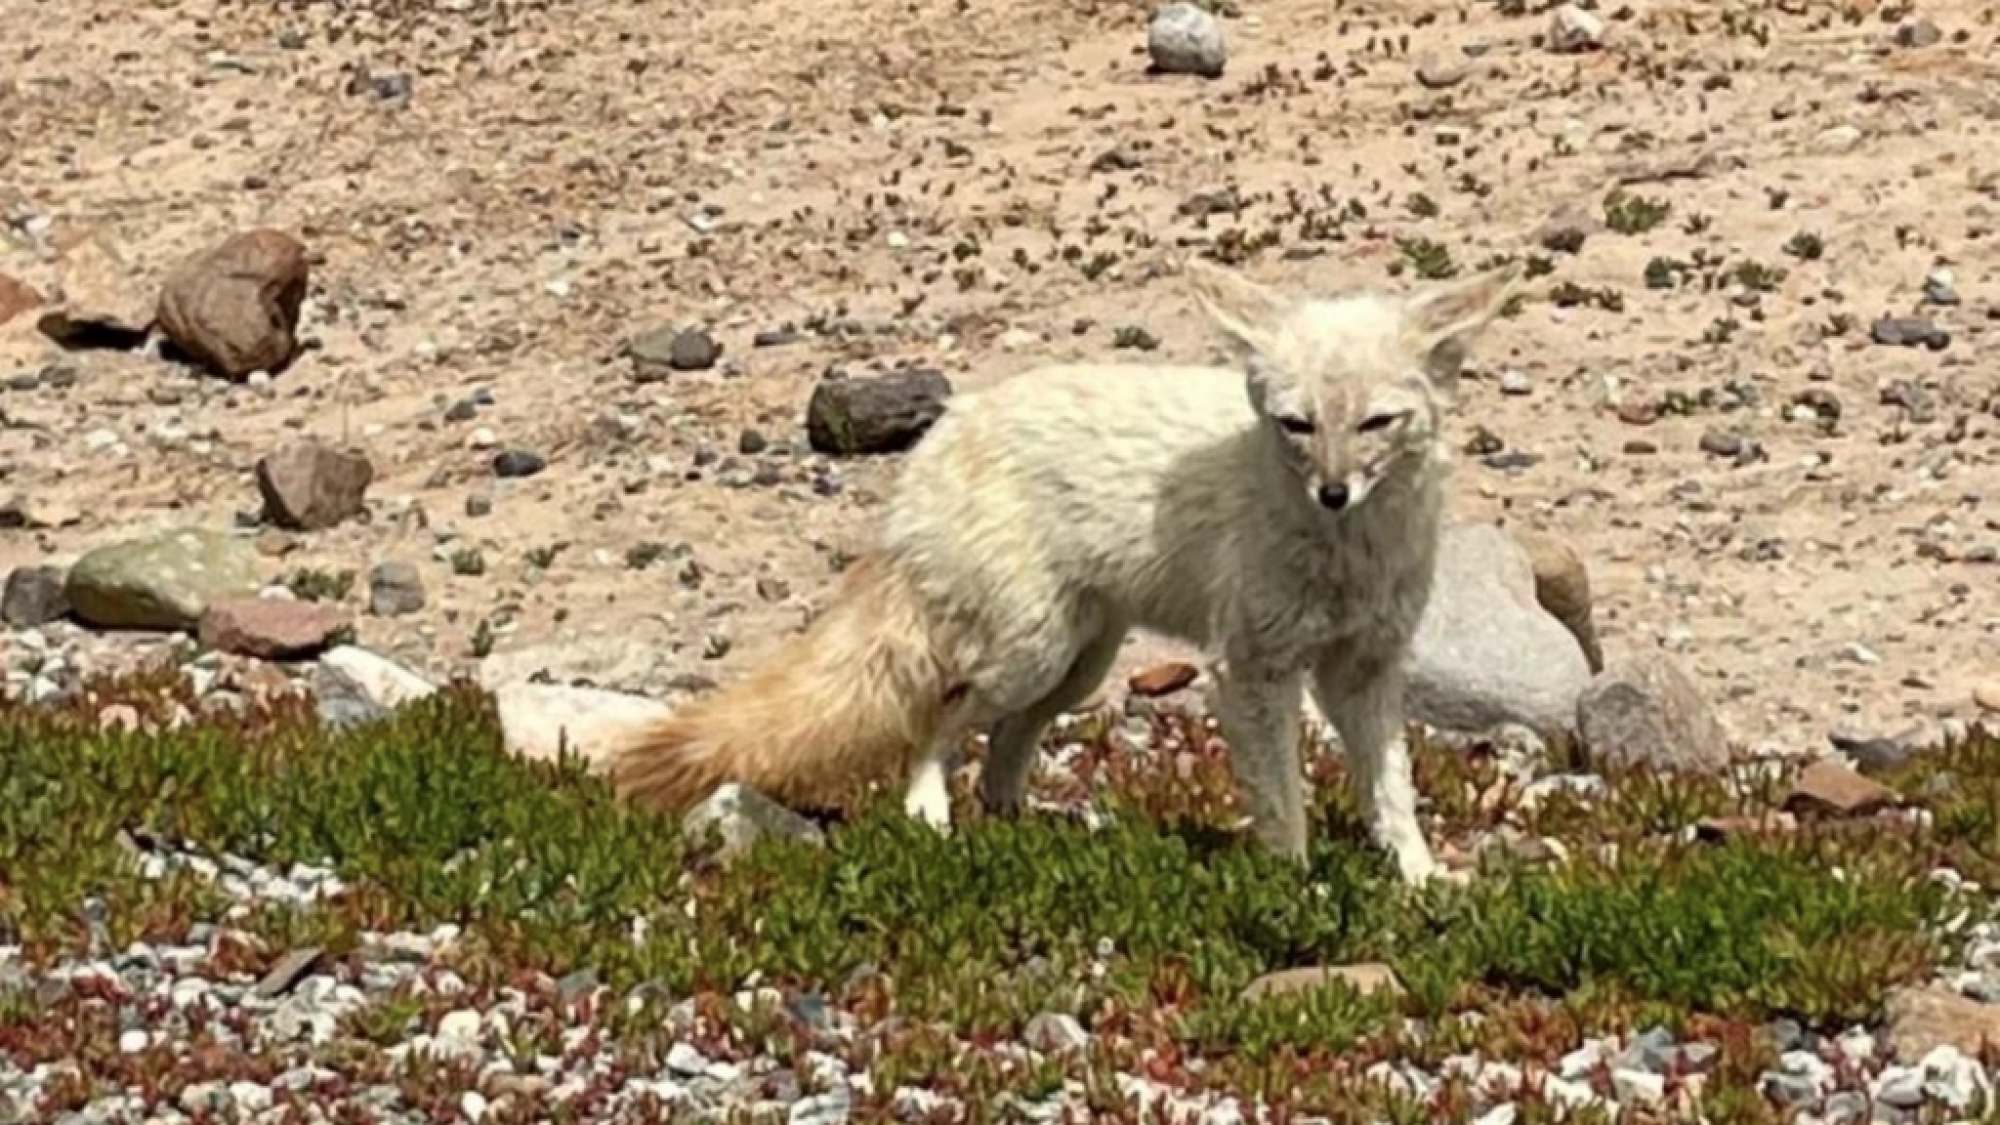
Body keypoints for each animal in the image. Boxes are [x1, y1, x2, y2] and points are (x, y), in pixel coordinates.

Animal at [609, 258, 1521, 883]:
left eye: (1375, 423)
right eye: (1297, 425)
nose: (1333, 492)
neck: (1349, 555)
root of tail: (943, 434)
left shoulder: (1362, 670)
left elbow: (1393, 795)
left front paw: (1420, 881)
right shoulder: (1253, 669)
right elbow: (1285, 804)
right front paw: (1294, 887)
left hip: (1077, 670)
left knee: (1002, 758)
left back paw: (1030, 825)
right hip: (1030, 657)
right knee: (939, 723)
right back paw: (929, 811)